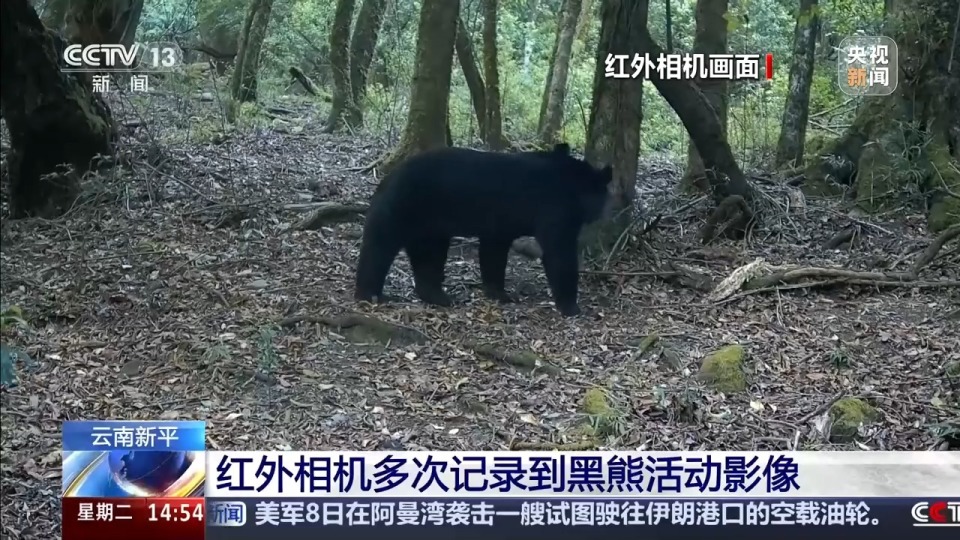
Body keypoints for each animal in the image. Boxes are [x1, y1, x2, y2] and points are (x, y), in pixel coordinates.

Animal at [354, 143, 612, 316]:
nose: (603, 213)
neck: (573, 185)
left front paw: (499, 292)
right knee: (379, 248)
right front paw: (571, 306)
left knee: (428, 257)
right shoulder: (555, 208)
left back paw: (438, 296)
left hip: (428, 227)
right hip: (402, 210)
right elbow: (559, 253)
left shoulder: (501, 223)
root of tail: (386, 179)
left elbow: (493, 251)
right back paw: (370, 293)